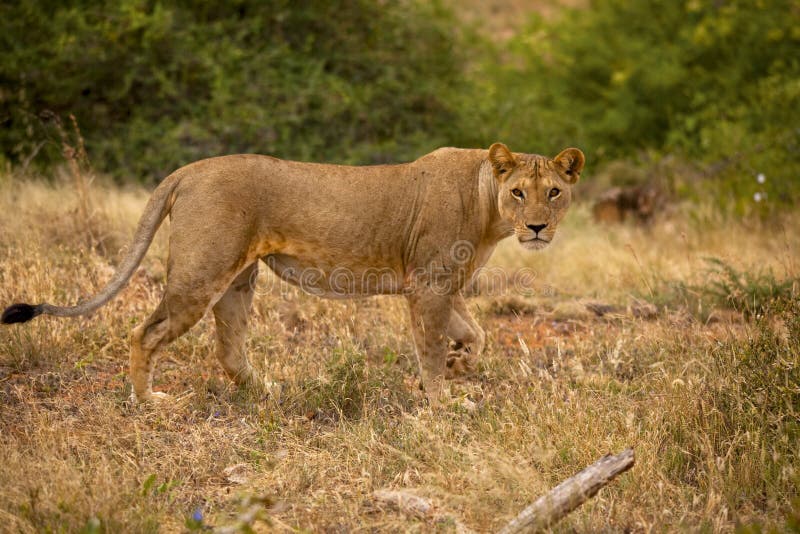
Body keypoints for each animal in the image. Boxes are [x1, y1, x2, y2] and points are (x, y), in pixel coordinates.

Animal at [1, 143, 584, 404]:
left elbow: (478, 335)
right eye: (519, 192)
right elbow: (431, 350)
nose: (537, 227)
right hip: (202, 271)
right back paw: (151, 402)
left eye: (554, 191)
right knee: (144, 333)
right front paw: (442, 400)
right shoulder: (429, 287)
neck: (488, 210)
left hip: (237, 278)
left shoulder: (444, 286)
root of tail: (189, 169)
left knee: (229, 350)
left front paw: (463, 365)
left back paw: (271, 390)